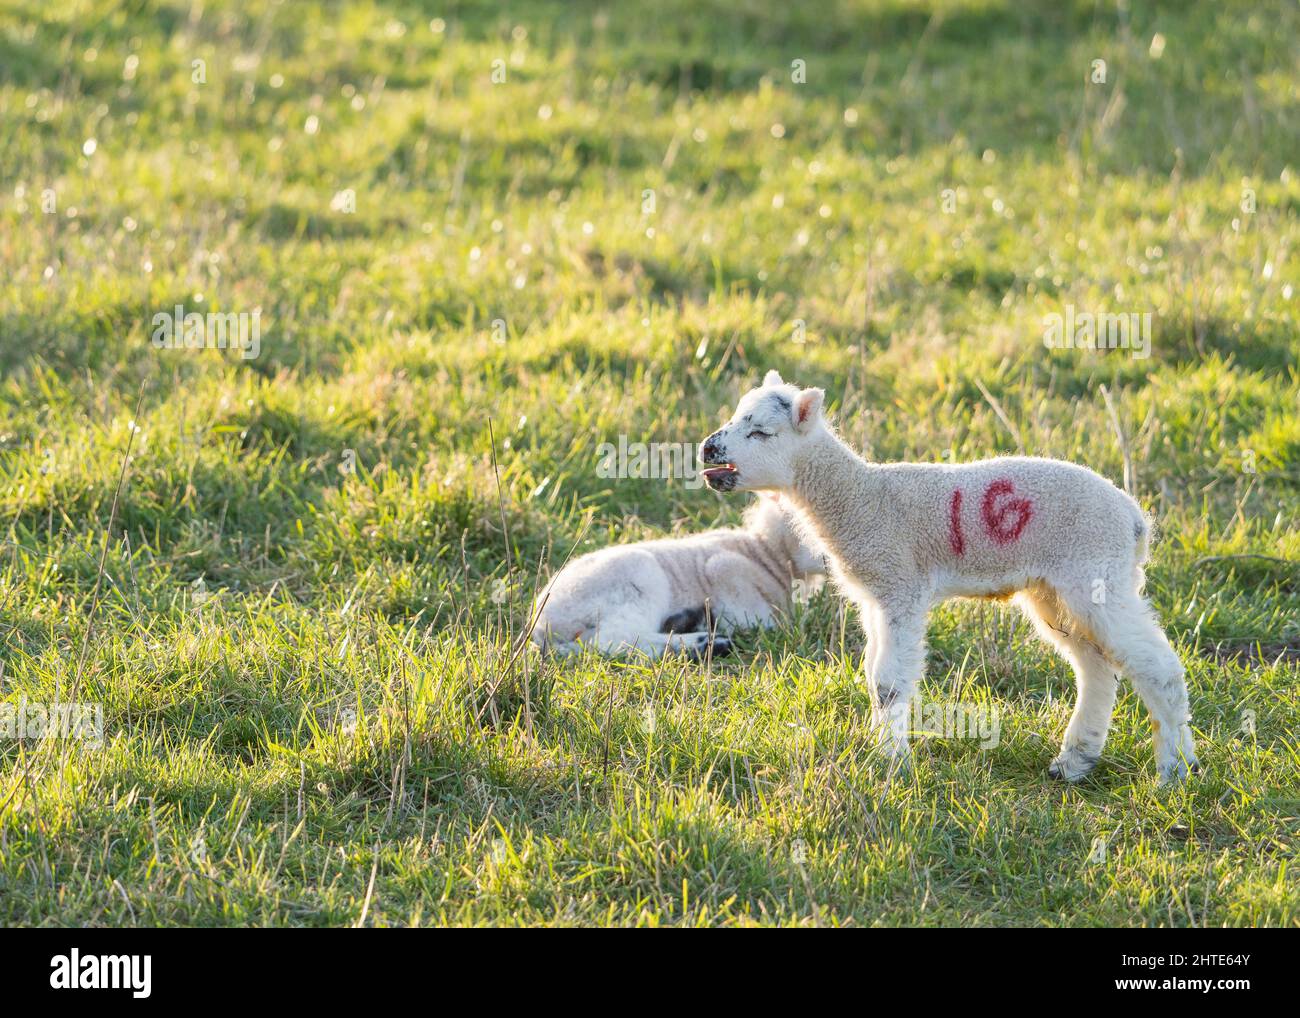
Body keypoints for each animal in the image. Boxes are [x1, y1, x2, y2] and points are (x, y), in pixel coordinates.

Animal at [530, 494, 826, 659]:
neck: (764, 554)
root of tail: (543, 626)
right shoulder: (731, 585)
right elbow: (765, 625)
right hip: (641, 579)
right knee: (612, 639)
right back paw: (704, 642)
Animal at [700, 370, 1198, 783]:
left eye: (761, 432)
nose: (707, 448)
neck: (861, 498)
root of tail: (1134, 520)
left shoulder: (900, 584)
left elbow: (888, 683)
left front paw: (891, 765)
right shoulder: (876, 595)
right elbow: (872, 674)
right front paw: (879, 749)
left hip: (1095, 571)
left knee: (1157, 667)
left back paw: (1176, 770)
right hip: (1056, 589)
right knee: (1096, 668)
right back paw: (1074, 763)